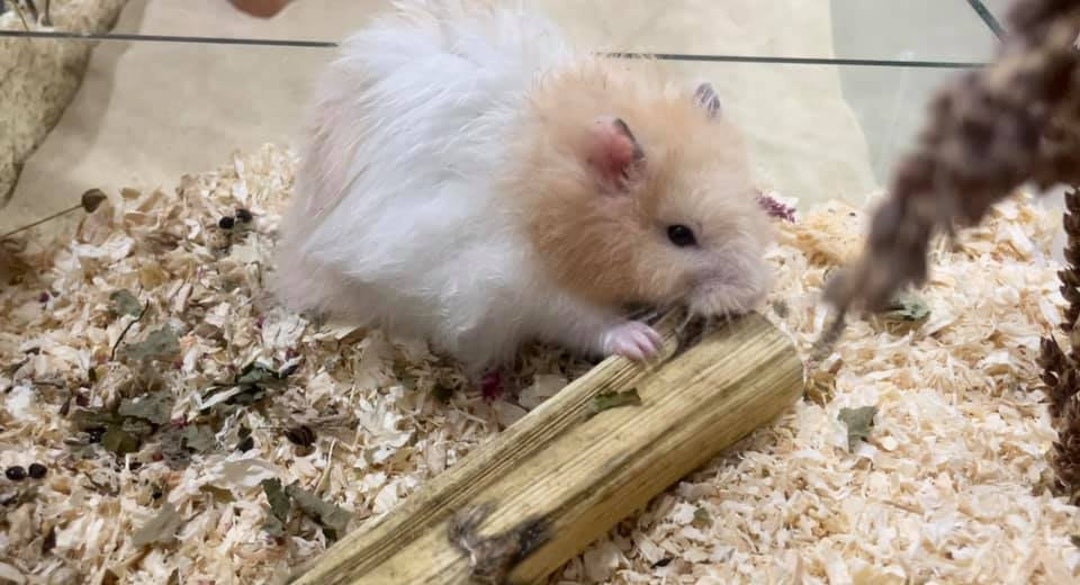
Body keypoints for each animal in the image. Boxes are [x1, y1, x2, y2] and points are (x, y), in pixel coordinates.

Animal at [272, 0, 775, 376]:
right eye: (680, 235)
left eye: (751, 203)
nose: (754, 294)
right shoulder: (518, 285)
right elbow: (581, 319)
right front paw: (643, 343)